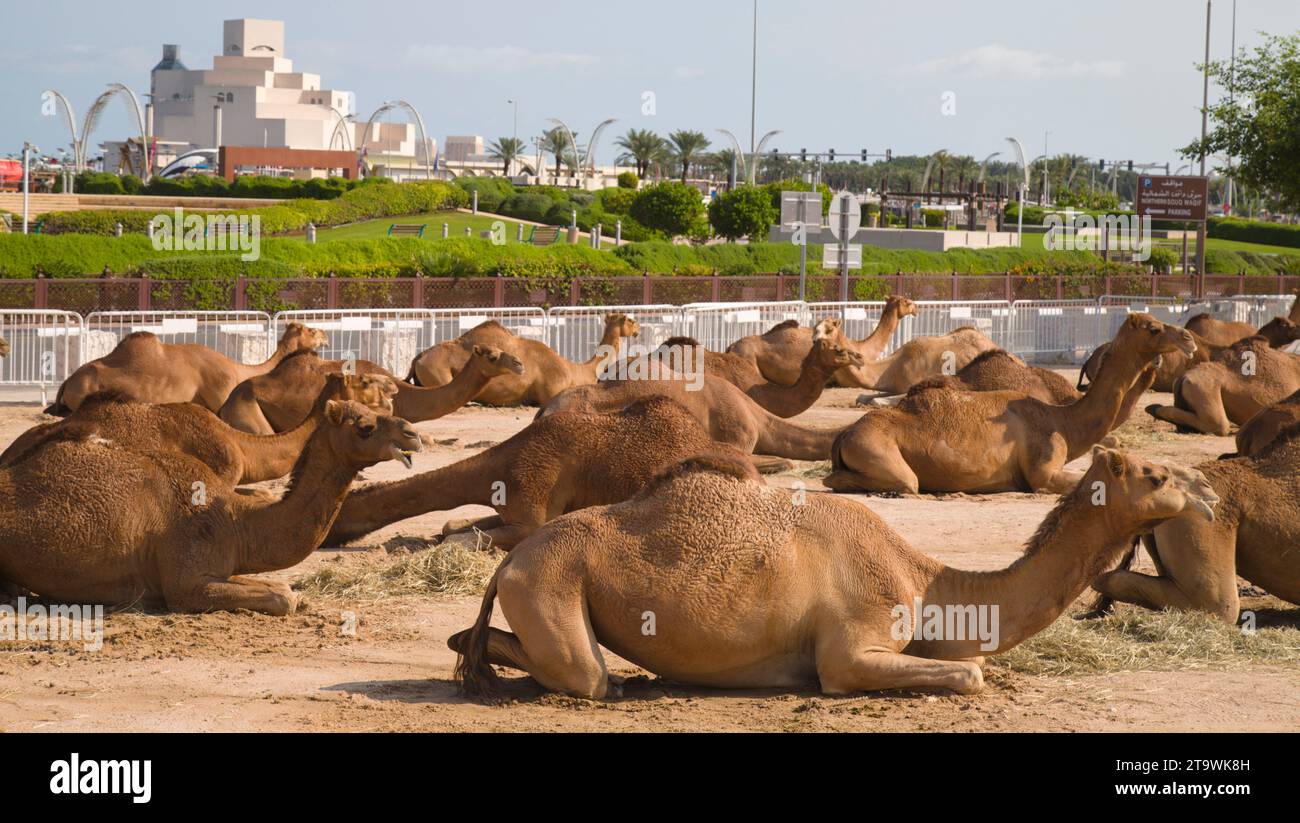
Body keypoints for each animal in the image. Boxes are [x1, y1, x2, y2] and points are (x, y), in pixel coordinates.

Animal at [0, 400, 422, 615]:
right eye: (364, 426)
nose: (413, 434)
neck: (236, 520)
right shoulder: (186, 584)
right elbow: (283, 597)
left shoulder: (219, 566)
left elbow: (282, 588)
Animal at [449, 447, 1216, 700]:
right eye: (1155, 475)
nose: (1206, 490)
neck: (926, 584)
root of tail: (510, 560)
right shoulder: (851, 647)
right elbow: (966, 674)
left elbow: (975, 665)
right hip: (549, 584)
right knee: (586, 675)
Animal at [823, 314, 1193, 494]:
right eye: (1153, 327)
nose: (1188, 338)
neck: (1063, 421)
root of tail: (843, 436)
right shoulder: (1043, 473)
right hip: (879, 451)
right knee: (896, 482)